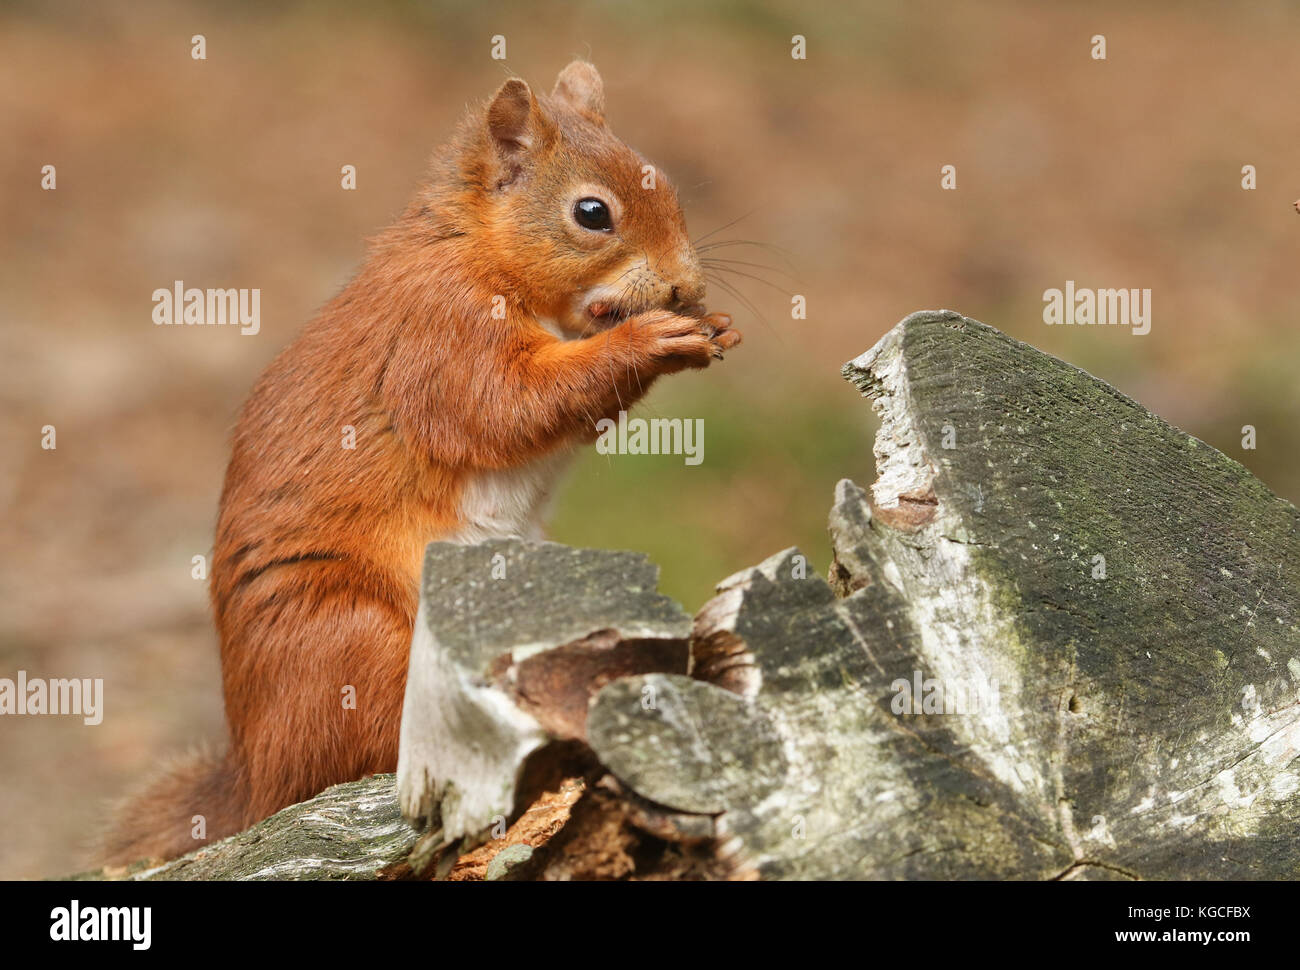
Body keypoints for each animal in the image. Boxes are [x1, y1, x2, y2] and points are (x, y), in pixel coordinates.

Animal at [102, 61, 741, 866]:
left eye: (673, 187)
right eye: (592, 213)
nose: (686, 286)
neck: (479, 252)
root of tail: (256, 776)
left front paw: (711, 326)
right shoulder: (443, 335)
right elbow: (505, 408)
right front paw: (649, 341)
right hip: (356, 636)